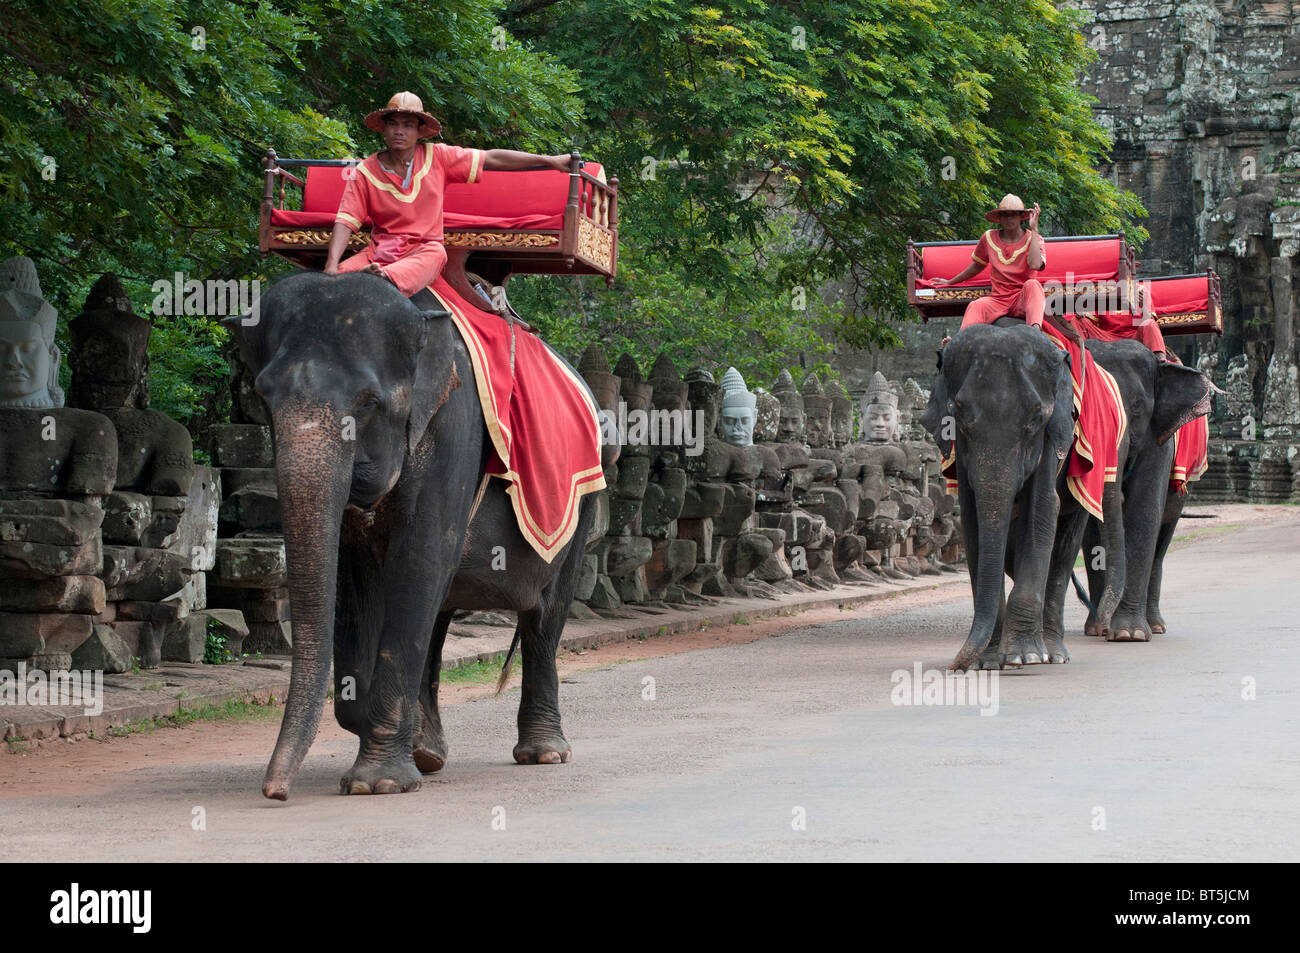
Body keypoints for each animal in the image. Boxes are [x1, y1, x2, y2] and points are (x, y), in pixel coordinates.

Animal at [223, 271, 606, 800]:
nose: (276, 791)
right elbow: (354, 578)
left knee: (544, 616)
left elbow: (419, 560)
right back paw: (431, 751)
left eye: (369, 403)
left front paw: (378, 783)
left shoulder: (453, 430)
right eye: (263, 398)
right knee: (441, 612)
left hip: (584, 501)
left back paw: (543, 754)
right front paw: (407, 747)